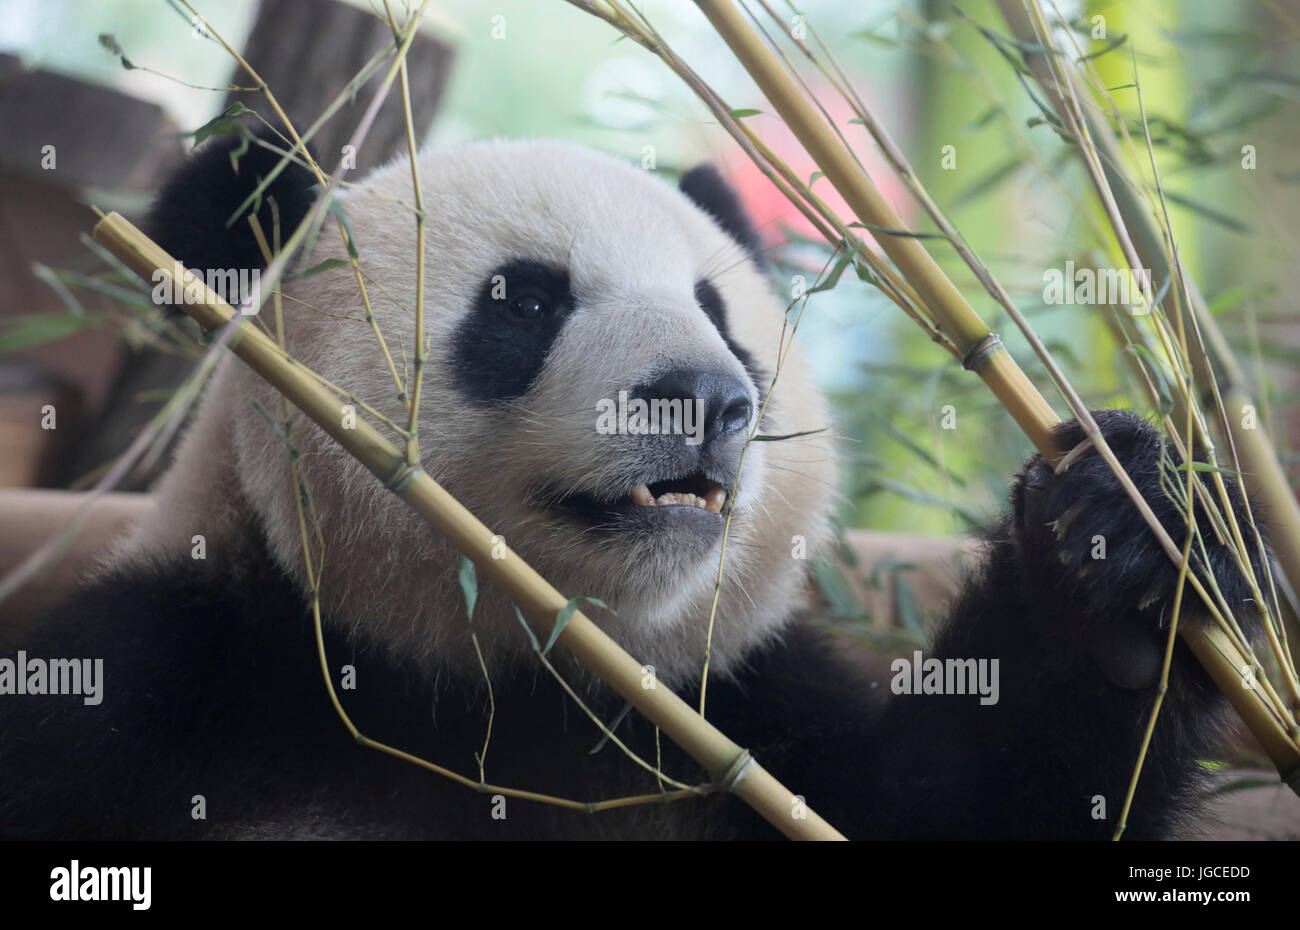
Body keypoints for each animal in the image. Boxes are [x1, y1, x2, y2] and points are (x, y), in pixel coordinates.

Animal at [0, 128, 1265, 840]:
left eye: (721, 313)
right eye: (524, 299)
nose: (702, 397)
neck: (504, 684)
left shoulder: (732, 716)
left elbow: (974, 800)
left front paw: (1119, 534)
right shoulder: (180, 681)